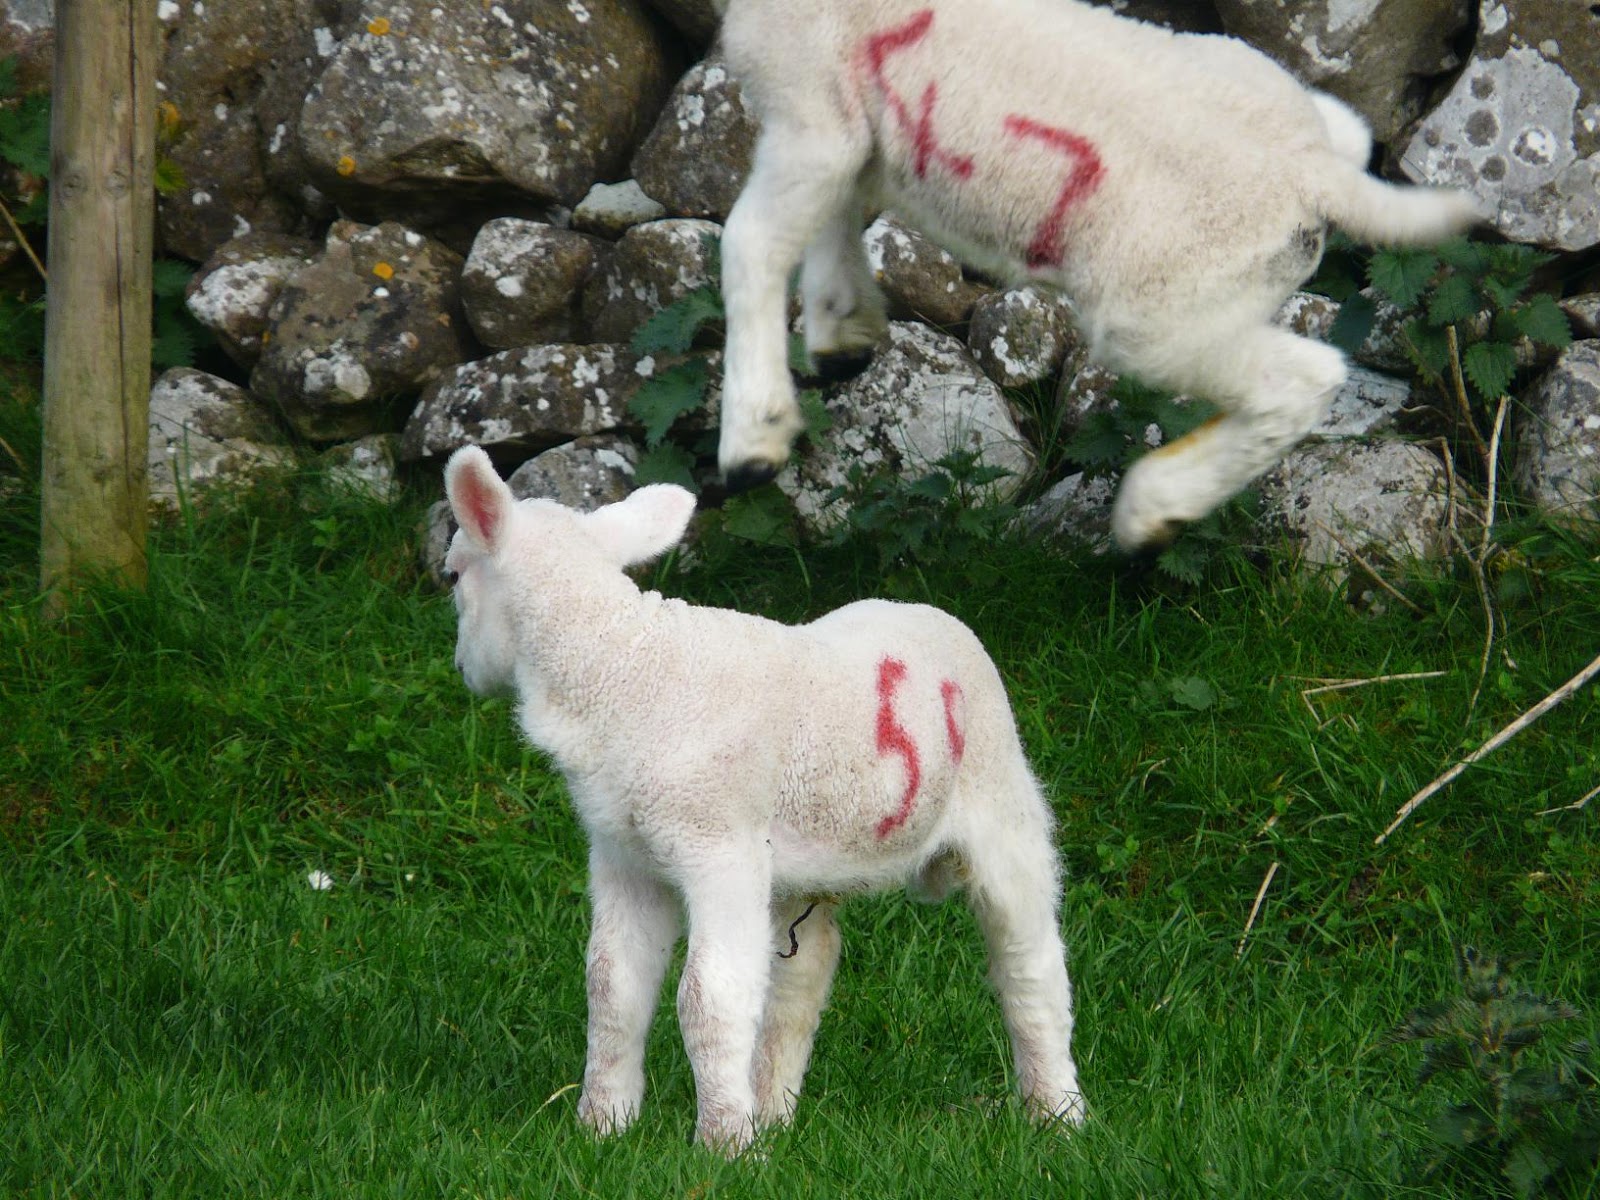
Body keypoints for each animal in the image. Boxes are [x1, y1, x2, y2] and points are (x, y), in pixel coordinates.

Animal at [442, 443, 1084, 1153]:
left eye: (451, 576)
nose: (462, 669)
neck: (625, 666)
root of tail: (931, 611)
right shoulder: (626, 855)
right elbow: (613, 986)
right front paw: (603, 1126)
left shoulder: (718, 848)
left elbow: (709, 996)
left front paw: (722, 1143)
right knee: (802, 973)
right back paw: (773, 1111)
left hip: (1003, 804)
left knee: (1029, 963)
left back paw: (1058, 1114)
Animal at [711, 0, 1479, 551]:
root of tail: (1310, 172)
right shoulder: (849, 115)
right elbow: (836, 206)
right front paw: (841, 330)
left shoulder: (809, 100)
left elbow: (750, 243)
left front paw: (754, 438)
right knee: (1349, 131)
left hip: (1159, 312)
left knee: (1301, 382)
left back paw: (1156, 509)